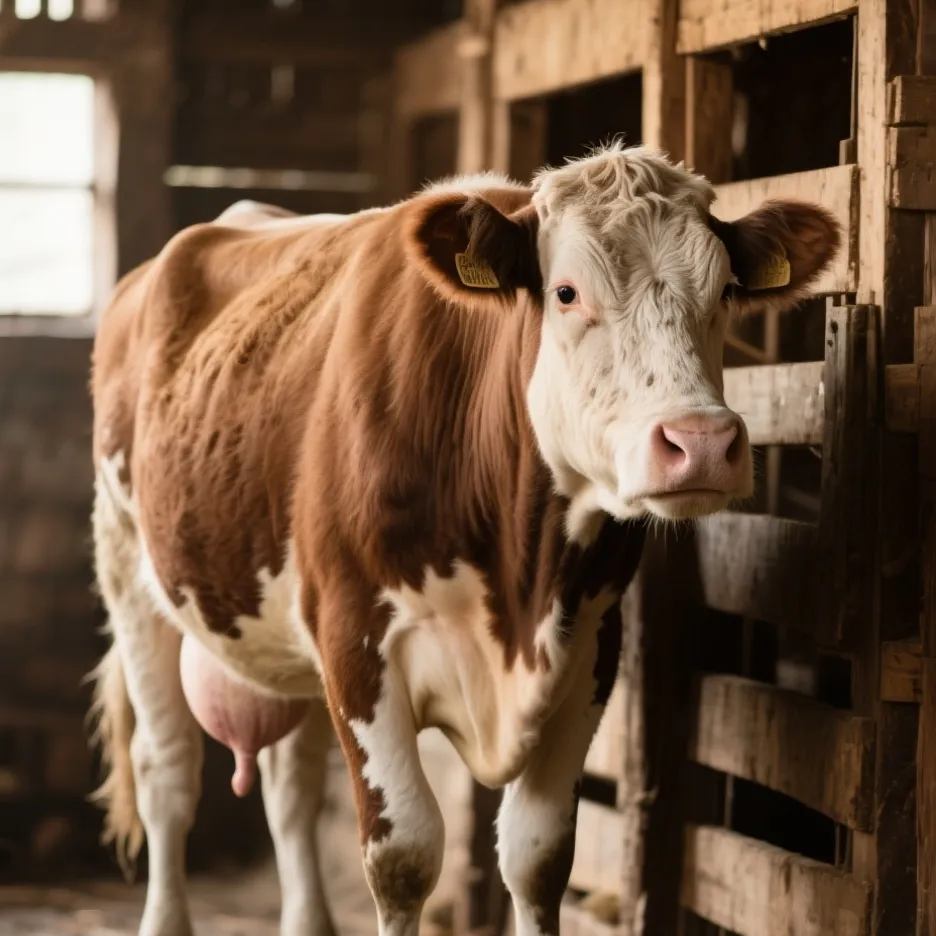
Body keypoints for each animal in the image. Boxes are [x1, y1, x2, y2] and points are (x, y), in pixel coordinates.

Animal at [88, 142, 840, 936]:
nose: (700, 443)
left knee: (289, 785)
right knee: (166, 771)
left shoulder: (592, 649)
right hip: (129, 570)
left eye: (725, 289)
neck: (522, 586)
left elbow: (539, 857)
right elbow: (405, 854)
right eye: (566, 292)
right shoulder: (355, 640)